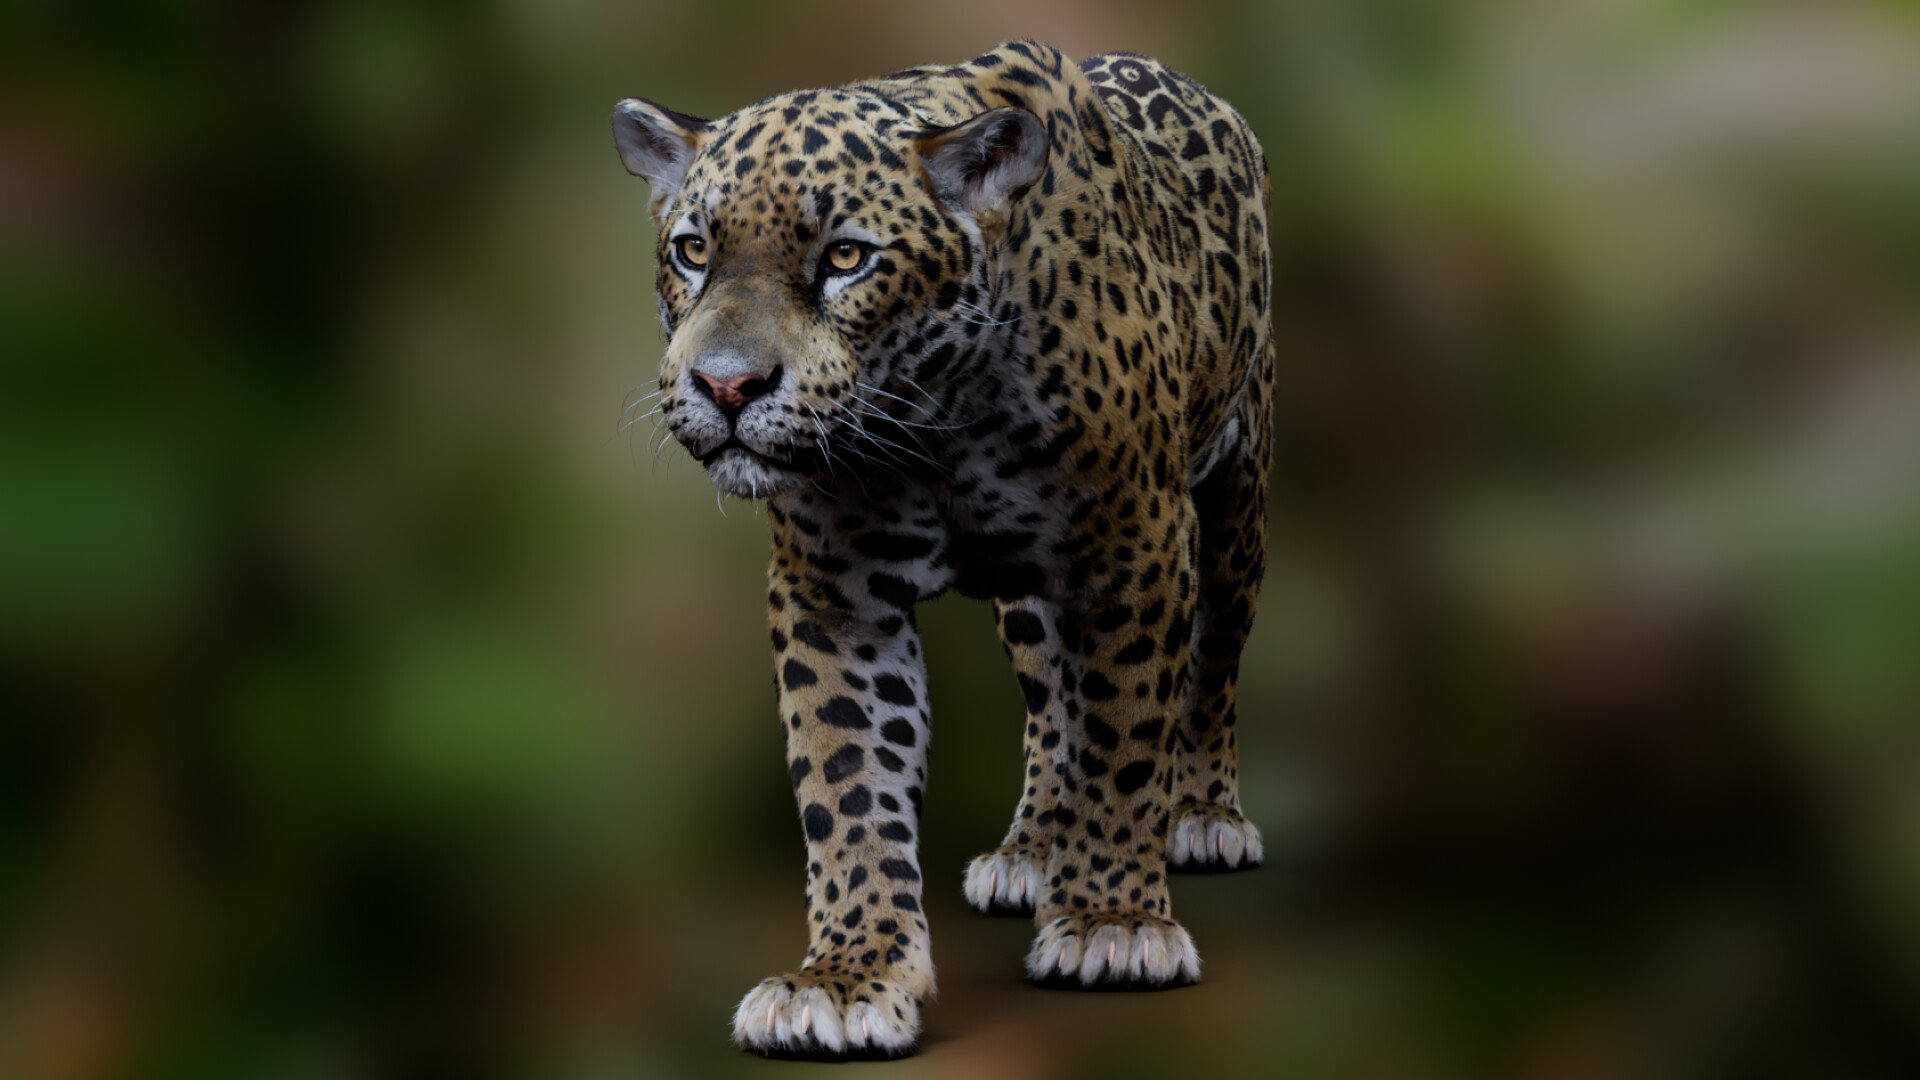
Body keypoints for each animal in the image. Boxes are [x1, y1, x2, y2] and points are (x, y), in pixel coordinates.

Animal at [611, 40, 1273, 1060]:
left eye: (846, 258)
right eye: (693, 251)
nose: (725, 387)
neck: (937, 427)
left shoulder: (1138, 546)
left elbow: (1126, 735)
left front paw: (1113, 922)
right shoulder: (832, 591)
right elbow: (848, 783)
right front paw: (849, 975)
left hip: (1236, 504)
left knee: (1211, 665)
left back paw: (1202, 816)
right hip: (1032, 603)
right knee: (1052, 708)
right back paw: (1033, 847)